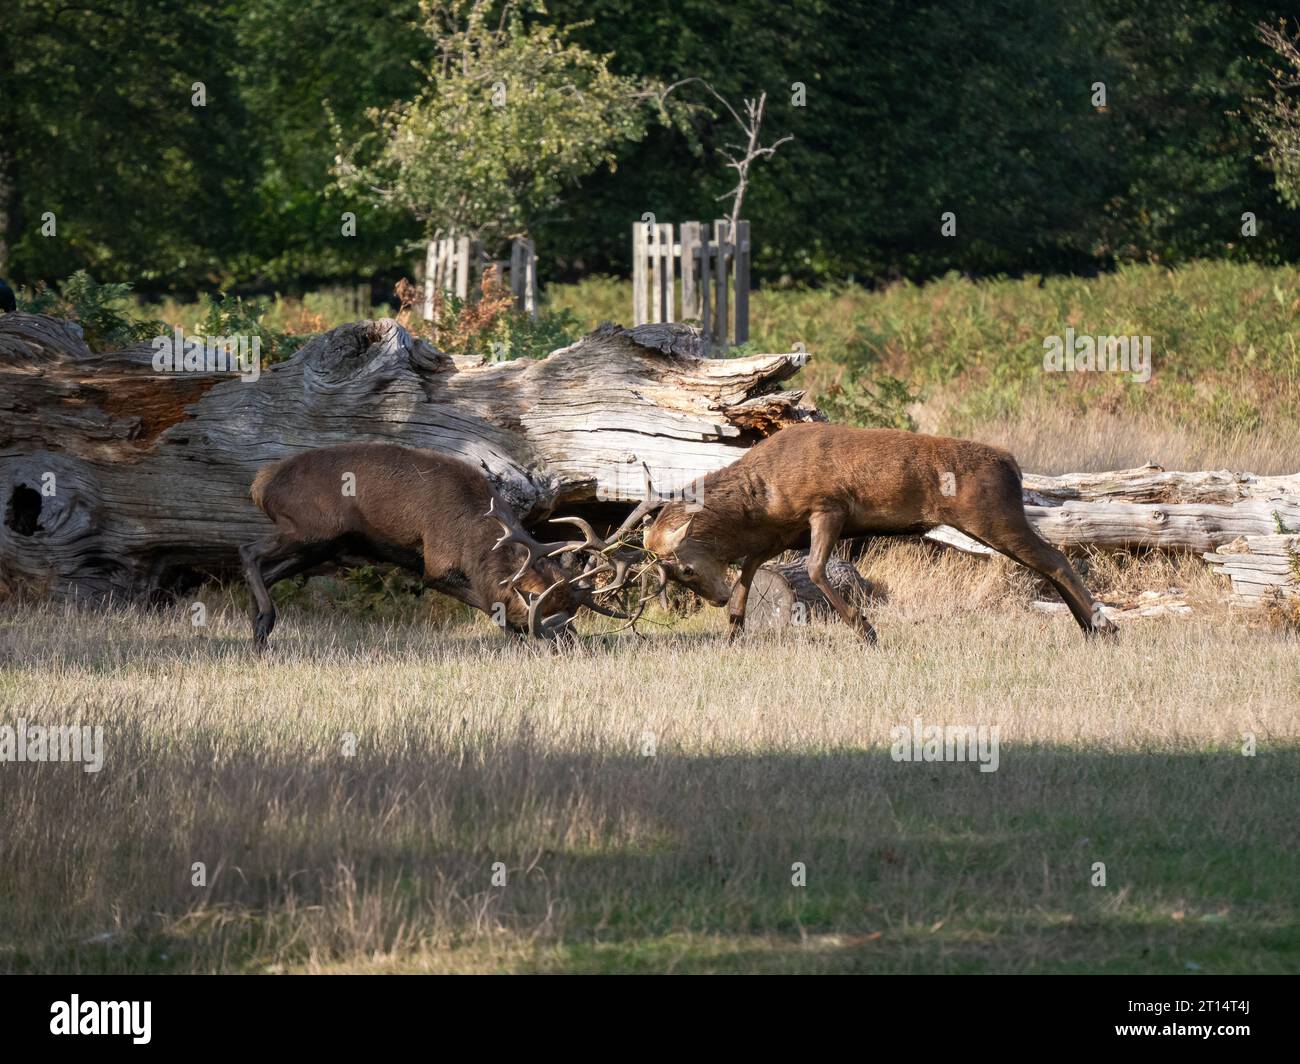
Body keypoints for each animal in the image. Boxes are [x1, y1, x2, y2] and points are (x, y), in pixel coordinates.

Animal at [240, 443, 625, 648]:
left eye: (572, 612)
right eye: (546, 612)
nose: (573, 642)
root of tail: (261, 484)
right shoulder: (435, 564)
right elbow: (486, 602)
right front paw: (516, 636)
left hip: (322, 545)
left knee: (268, 572)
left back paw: (259, 630)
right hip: (308, 529)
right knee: (249, 551)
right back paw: (264, 623)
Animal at [600, 424, 1118, 643]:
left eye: (685, 568)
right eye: (674, 576)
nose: (715, 599)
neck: (762, 501)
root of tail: (1013, 466)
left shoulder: (827, 507)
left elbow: (815, 568)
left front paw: (865, 628)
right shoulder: (775, 535)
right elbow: (749, 576)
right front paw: (732, 631)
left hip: (993, 515)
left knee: (1055, 558)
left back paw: (1104, 625)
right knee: (1047, 563)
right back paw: (1088, 625)